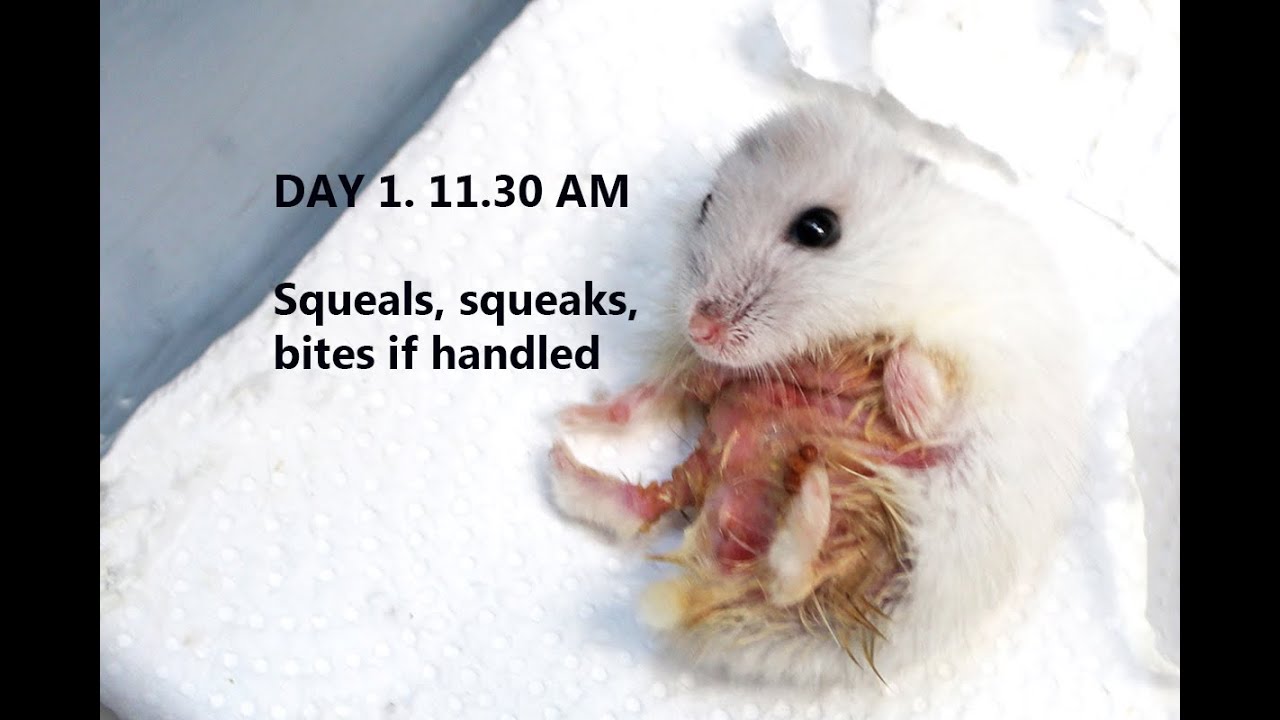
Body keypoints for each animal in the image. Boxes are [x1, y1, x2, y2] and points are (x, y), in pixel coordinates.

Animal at [549, 86, 1085, 686]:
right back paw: (571, 442)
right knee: (665, 486)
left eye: (817, 228)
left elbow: (921, 384)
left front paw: (897, 374)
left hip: (903, 549)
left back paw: (809, 486)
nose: (701, 329)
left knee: (791, 575)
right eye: (706, 204)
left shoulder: (972, 355)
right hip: (720, 423)